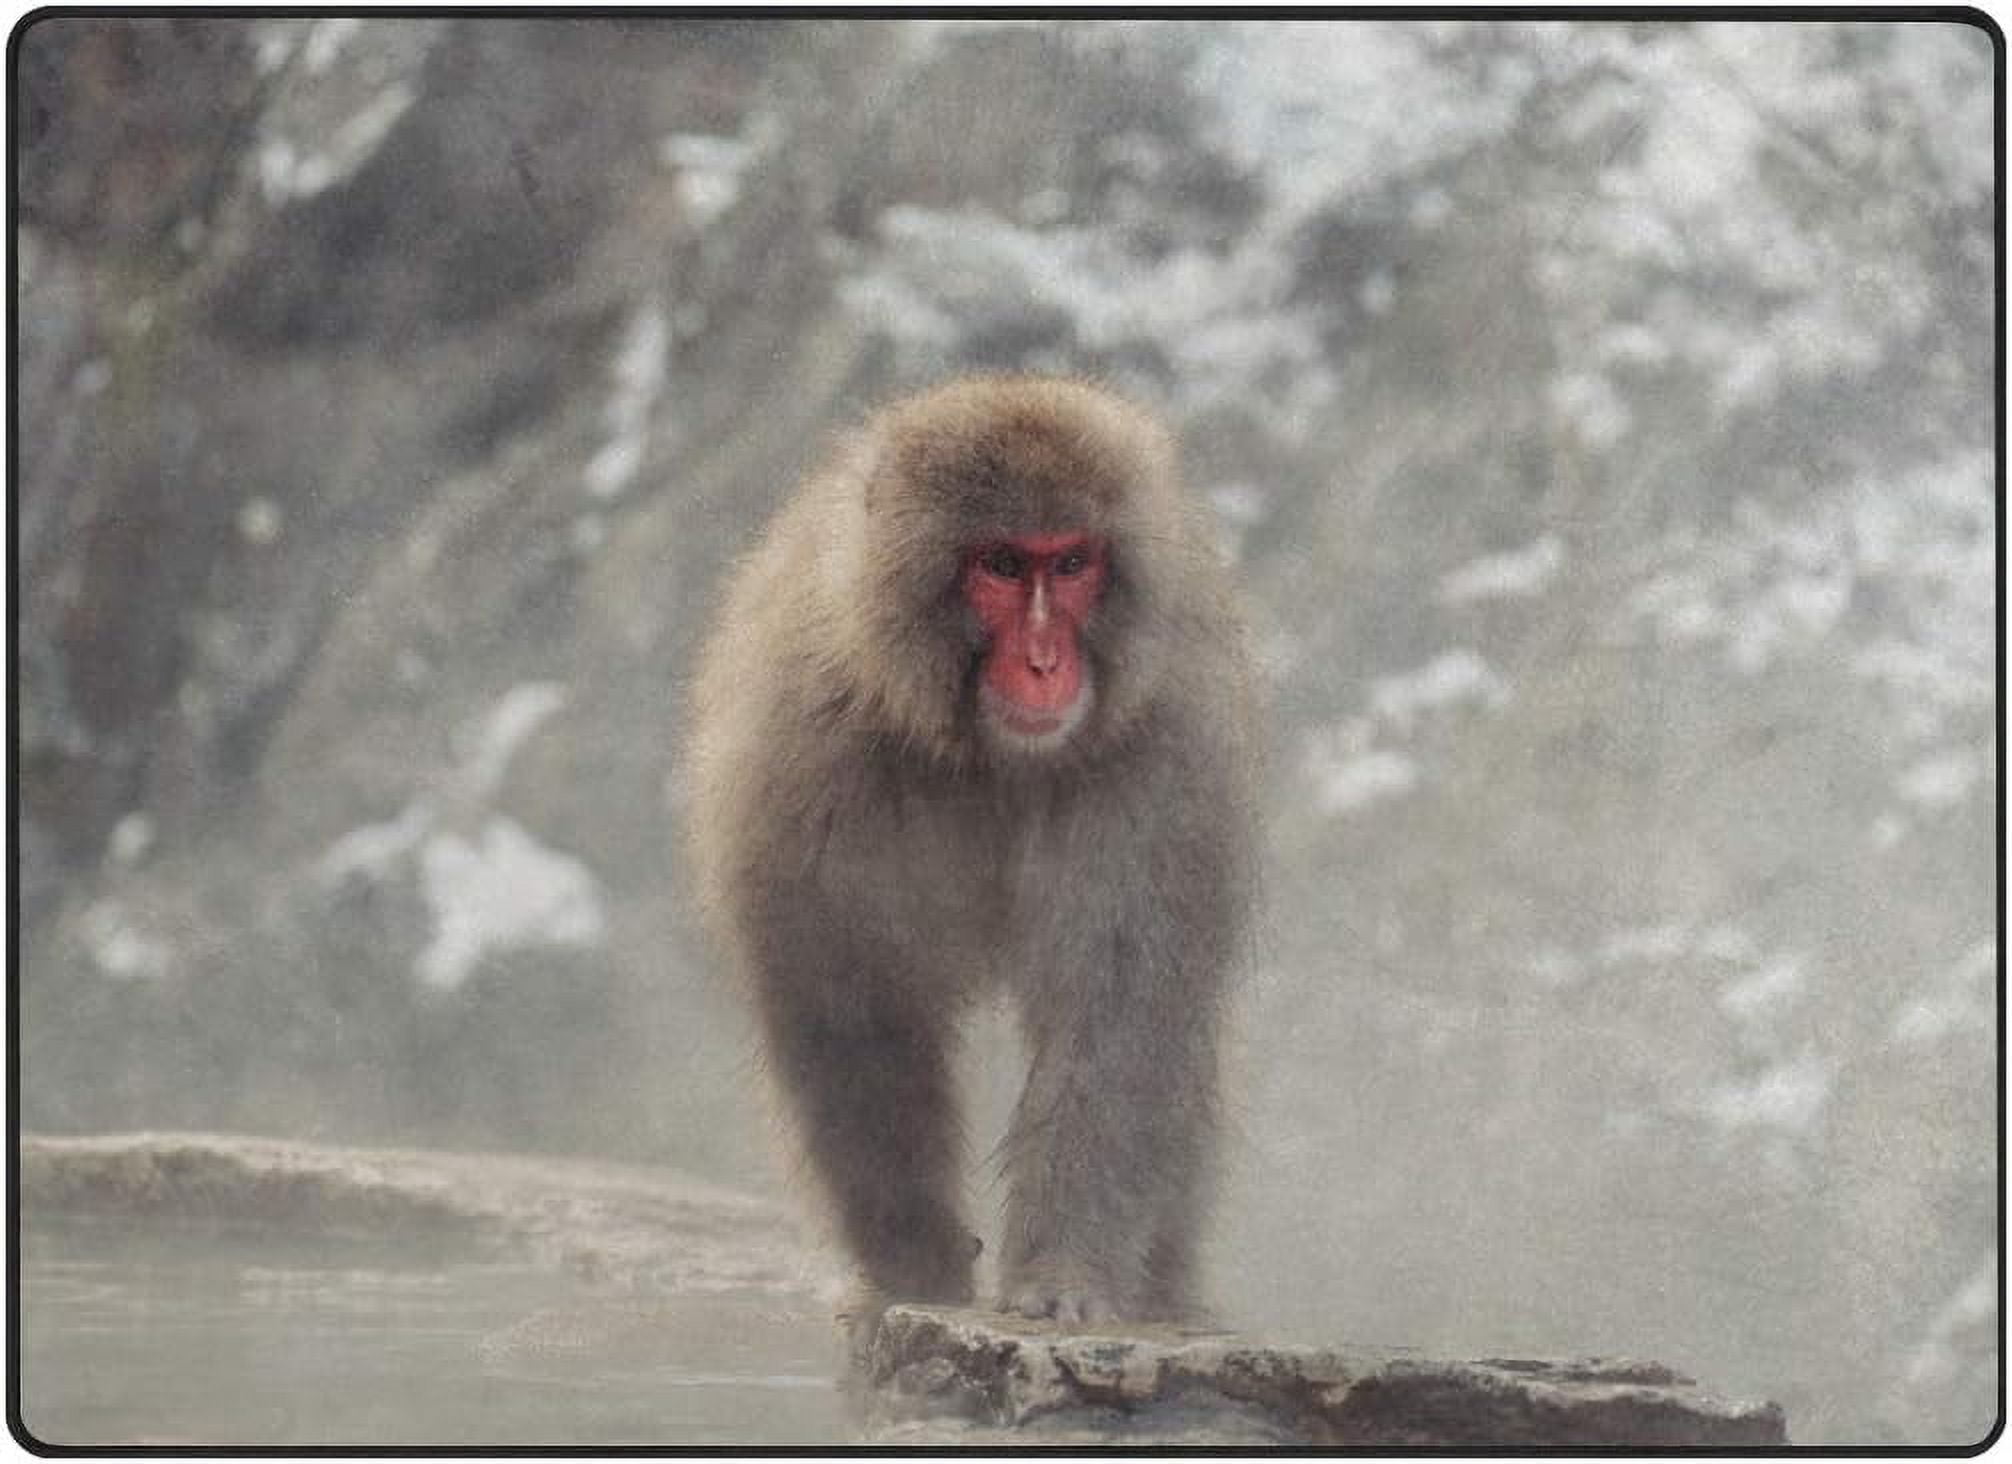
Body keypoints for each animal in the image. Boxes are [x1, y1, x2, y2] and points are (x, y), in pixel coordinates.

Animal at [683, 375, 1258, 1329]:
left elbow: (1117, 1005)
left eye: (1071, 564)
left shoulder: (1162, 747)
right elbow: (855, 1004)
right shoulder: (808, 744)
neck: (994, 758)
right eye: (1002, 565)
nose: (1044, 662)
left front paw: (1064, 1274)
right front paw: (915, 1266)